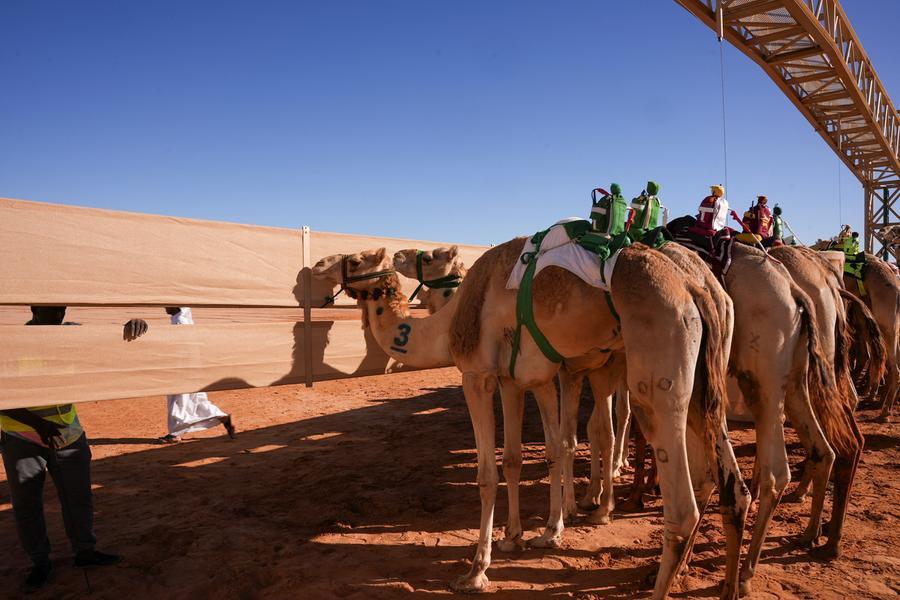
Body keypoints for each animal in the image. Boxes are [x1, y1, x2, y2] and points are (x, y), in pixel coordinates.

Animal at [313, 242, 750, 600]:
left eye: (354, 260)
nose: (317, 264)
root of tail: (694, 287)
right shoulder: (515, 378)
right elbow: (515, 459)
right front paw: (515, 537)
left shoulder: (478, 376)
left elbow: (489, 473)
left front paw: (477, 571)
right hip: (702, 382)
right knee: (726, 483)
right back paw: (722, 583)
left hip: (655, 370)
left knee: (681, 505)